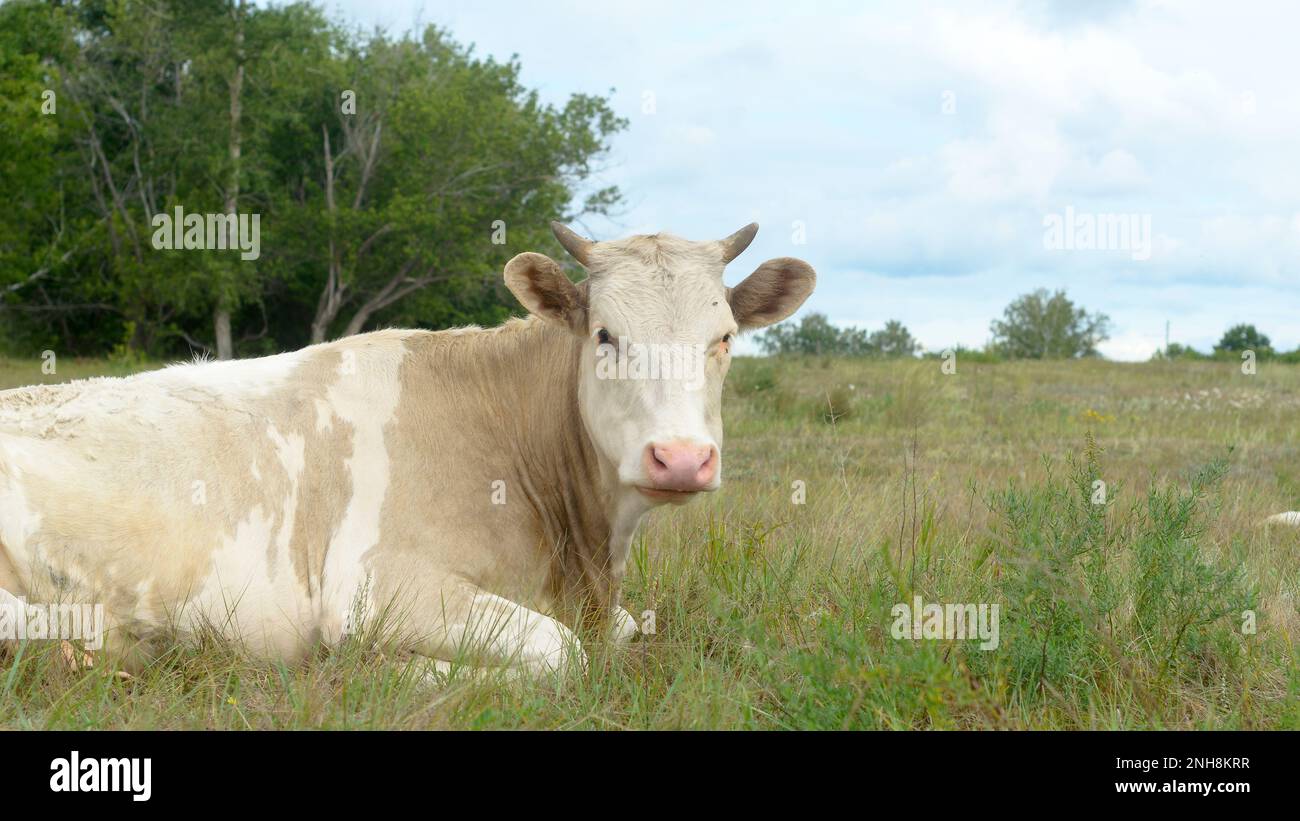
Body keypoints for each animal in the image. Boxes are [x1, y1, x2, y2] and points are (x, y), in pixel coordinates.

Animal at [0, 222, 815, 677]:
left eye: (725, 337)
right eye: (605, 334)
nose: (680, 457)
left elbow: (622, 632)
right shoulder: (371, 584)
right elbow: (563, 655)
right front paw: (389, 669)